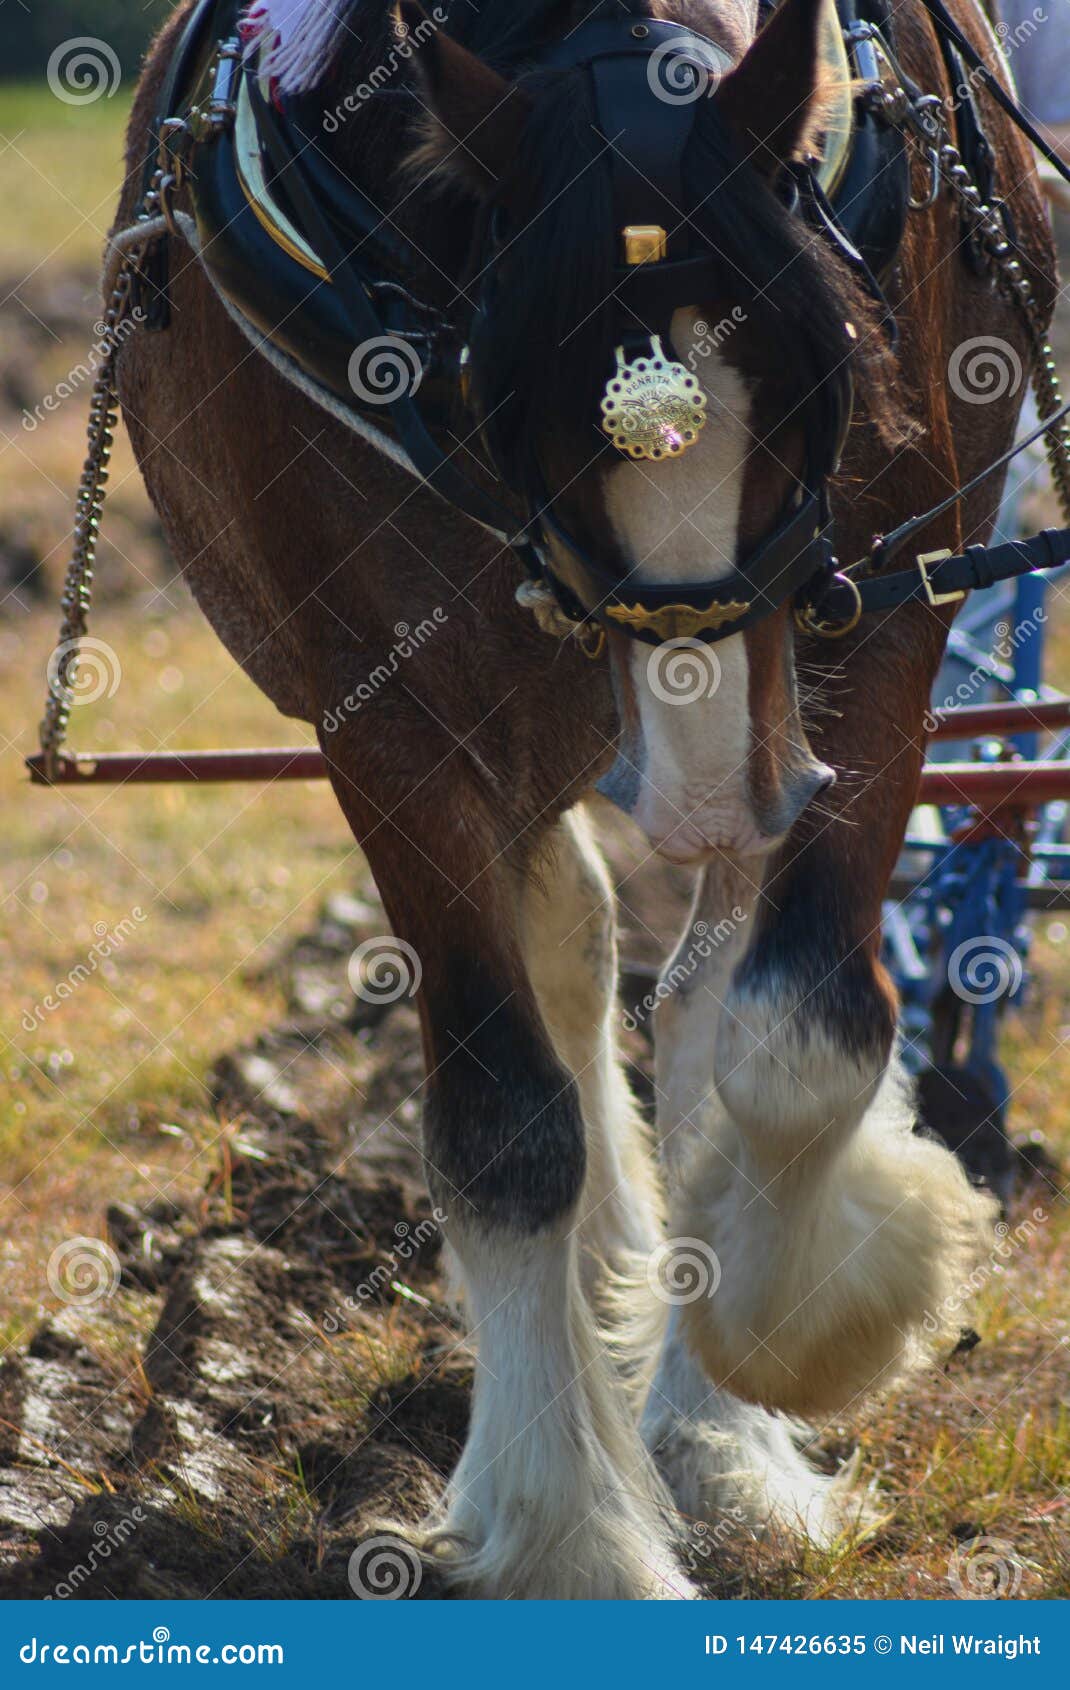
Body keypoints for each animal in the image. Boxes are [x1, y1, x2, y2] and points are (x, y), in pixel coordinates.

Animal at [112, 0, 1054, 1597]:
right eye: (522, 422)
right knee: (573, 938)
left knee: (696, 995)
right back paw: (617, 1279)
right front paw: (569, 1532)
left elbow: (797, 1030)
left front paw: (801, 1335)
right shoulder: (382, 710)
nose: (713, 794)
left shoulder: (883, 596)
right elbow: (501, 1127)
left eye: (816, 397)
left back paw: (702, 1401)